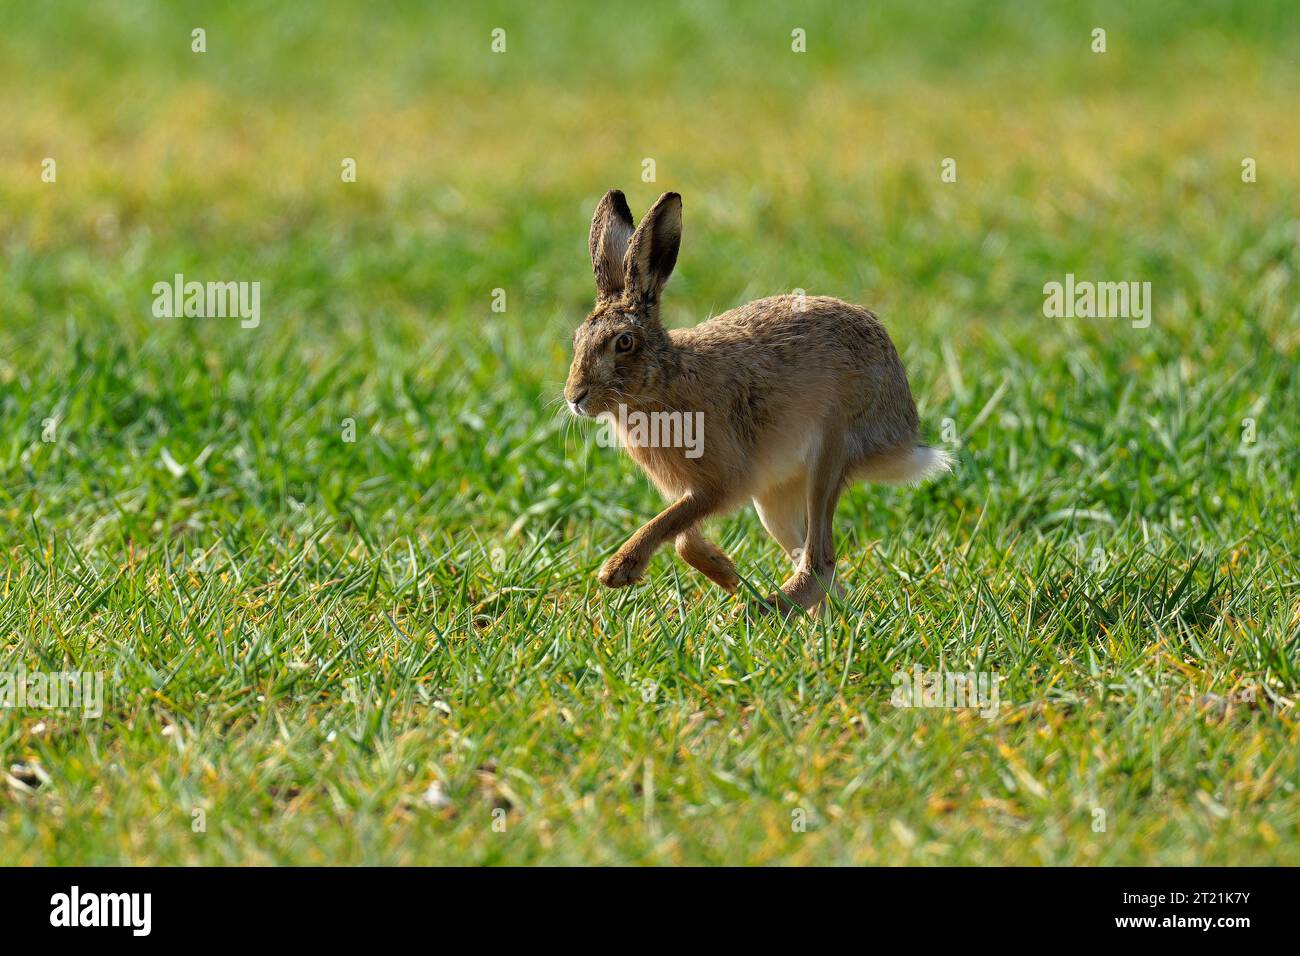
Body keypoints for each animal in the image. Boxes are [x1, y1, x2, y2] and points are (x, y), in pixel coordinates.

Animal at [564, 189, 950, 614]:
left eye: (624, 342)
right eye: (577, 338)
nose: (575, 397)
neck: (665, 378)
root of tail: (905, 430)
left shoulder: (721, 482)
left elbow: (670, 521)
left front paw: (618, 571)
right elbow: (681, 535)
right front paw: (725, 570)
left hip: (832, 450)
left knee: (819, 562)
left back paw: (754, 612)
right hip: (773, 501)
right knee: (821, 570)